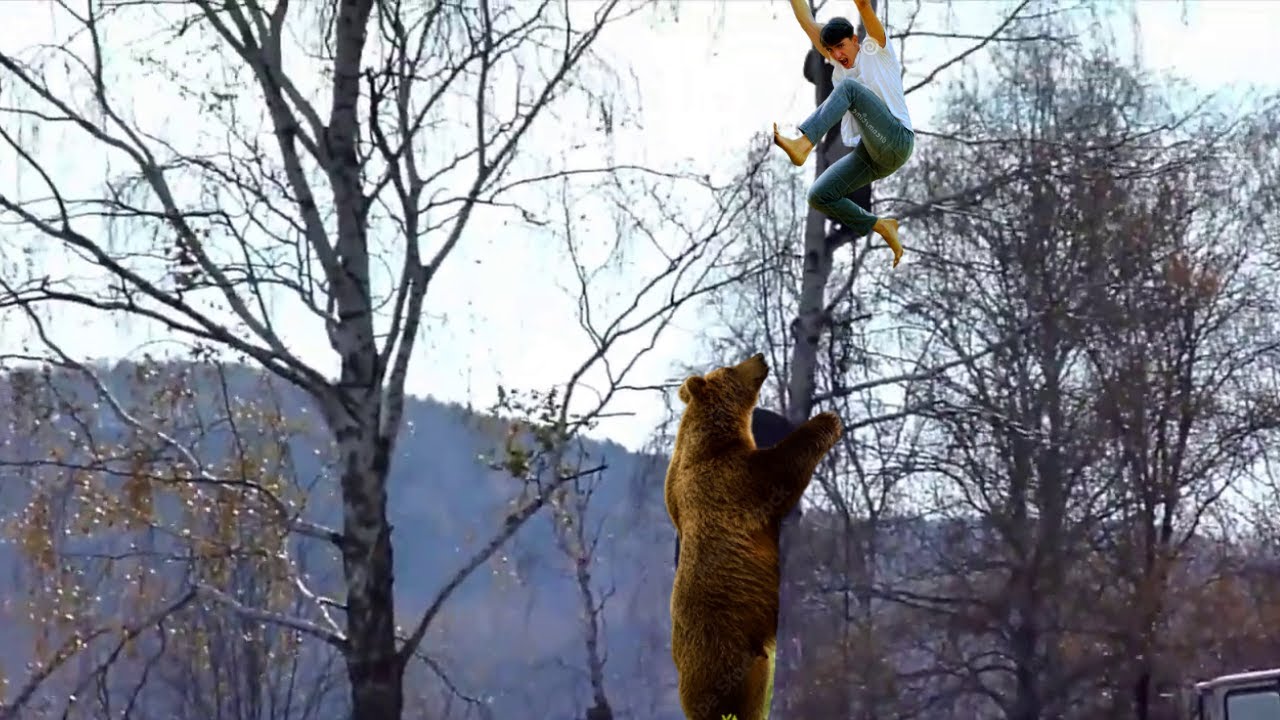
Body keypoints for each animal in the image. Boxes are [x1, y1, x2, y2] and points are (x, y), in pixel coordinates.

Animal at [665, 353, 843, 720]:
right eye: (731, 368)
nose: (759, 357)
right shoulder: (731, 479)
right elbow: (781, 469)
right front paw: (828, 419)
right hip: (723, 651)